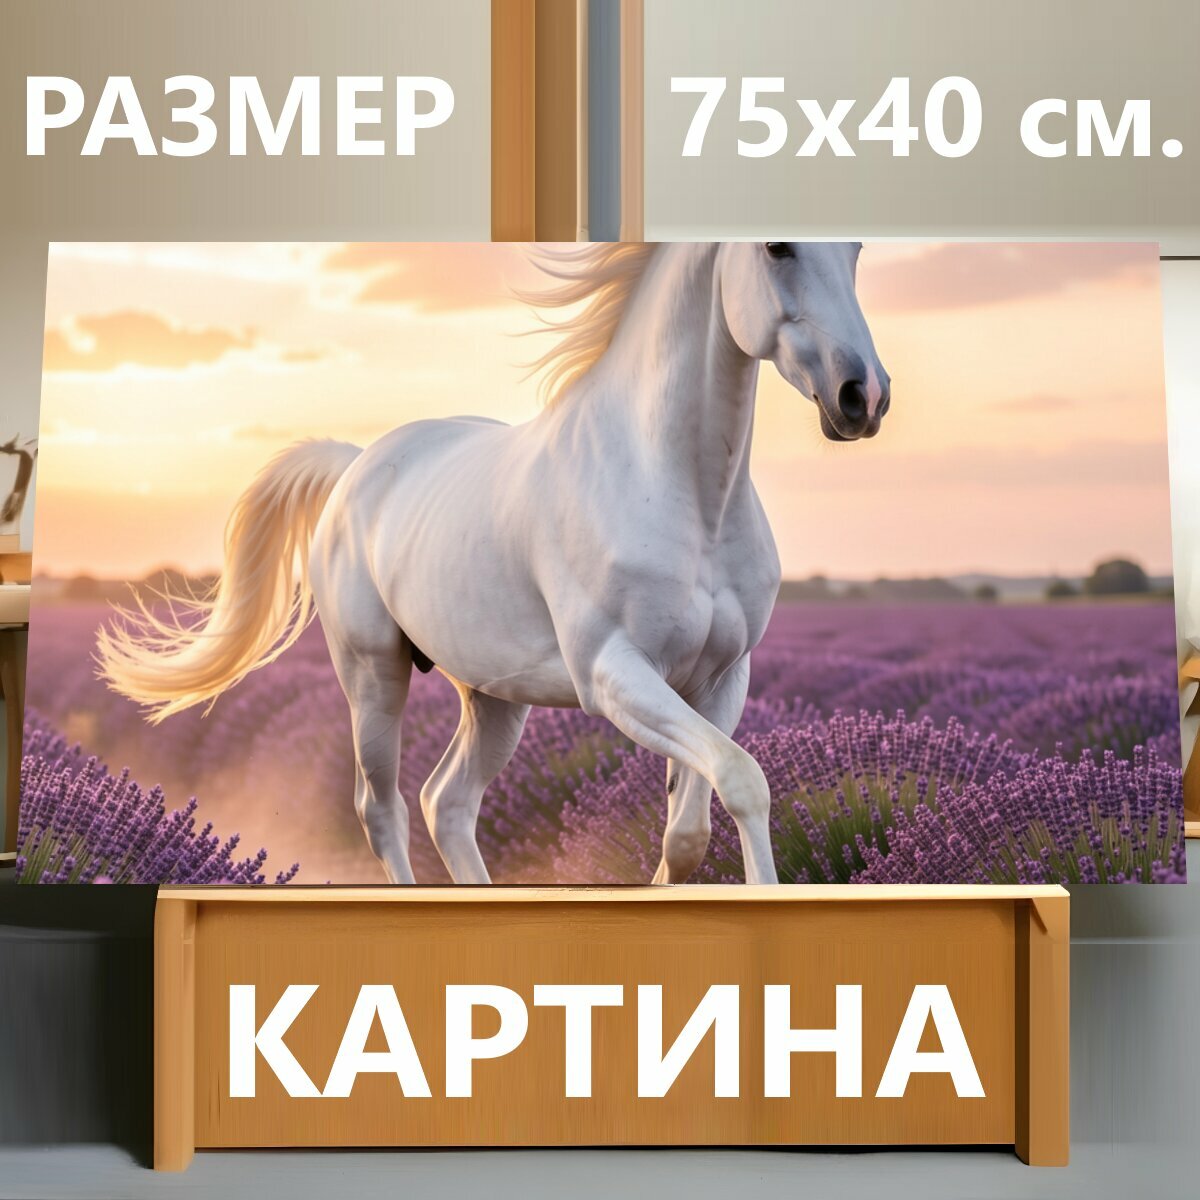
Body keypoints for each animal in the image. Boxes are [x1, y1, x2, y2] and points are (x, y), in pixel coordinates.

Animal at [97, 242, 890, 886]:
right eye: (777, 248)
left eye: (856, 247)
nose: (863, 396)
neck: (687, 493)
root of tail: (356, 464)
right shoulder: (615, 675)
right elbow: (743, 778)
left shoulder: (722, 679)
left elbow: (690, 830)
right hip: (372, 676)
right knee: (382, 811)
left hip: (495, 698)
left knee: (446, 803)